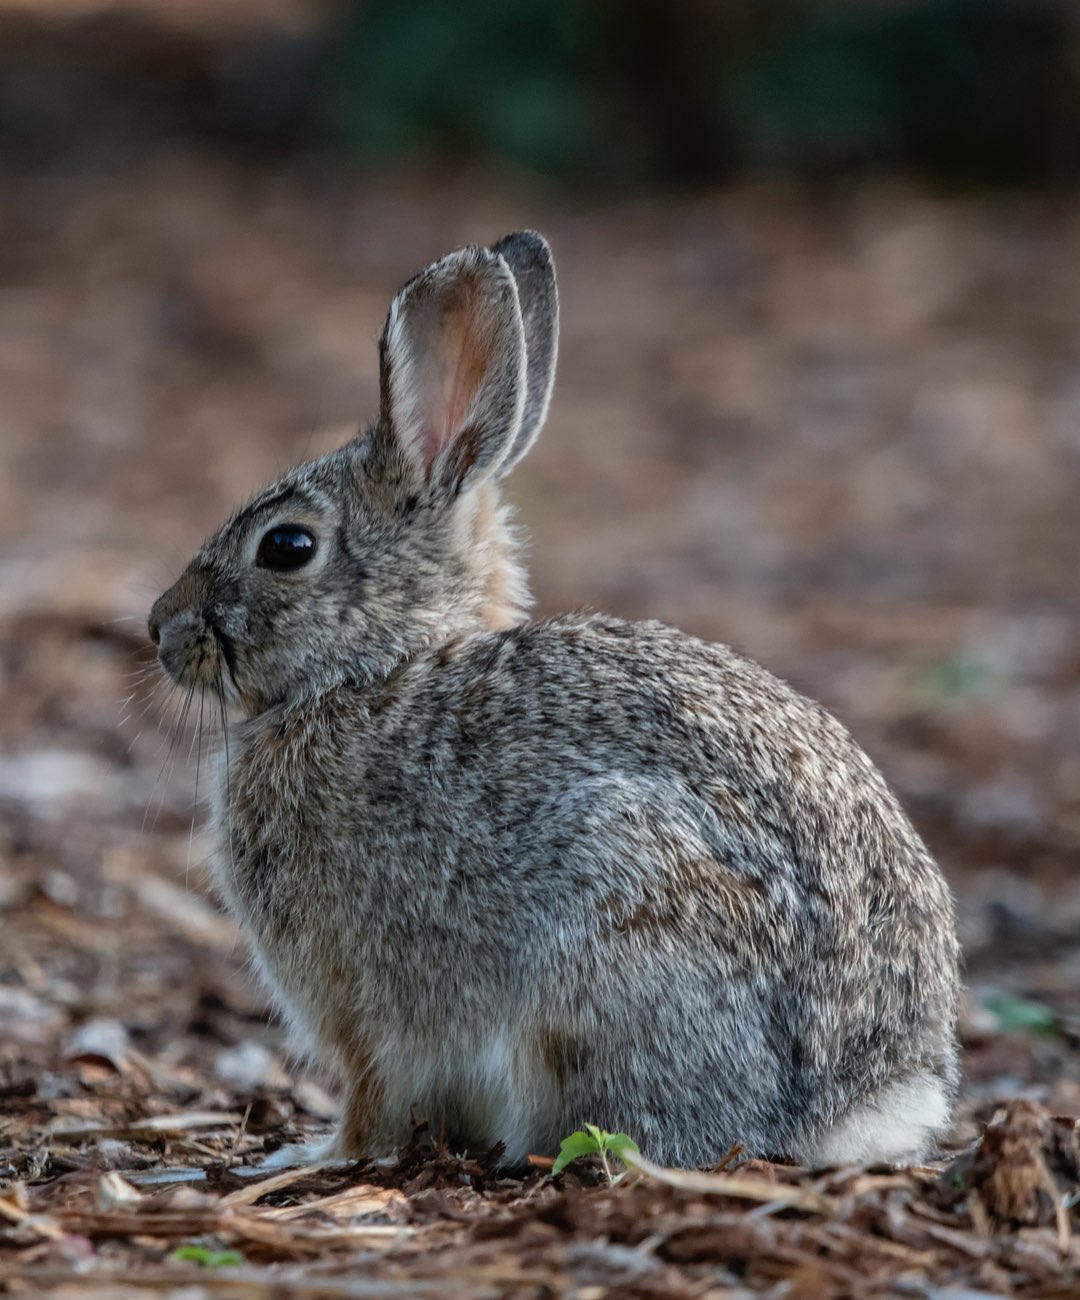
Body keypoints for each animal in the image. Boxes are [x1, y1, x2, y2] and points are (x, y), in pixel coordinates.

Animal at [149, 231, 960, 1171]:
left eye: (286, 547)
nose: (159, 627)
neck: (371, 671)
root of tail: (855, 1104)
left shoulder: (365, 1012)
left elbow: (368, 1105)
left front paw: (308, 1158)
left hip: (625, 918)